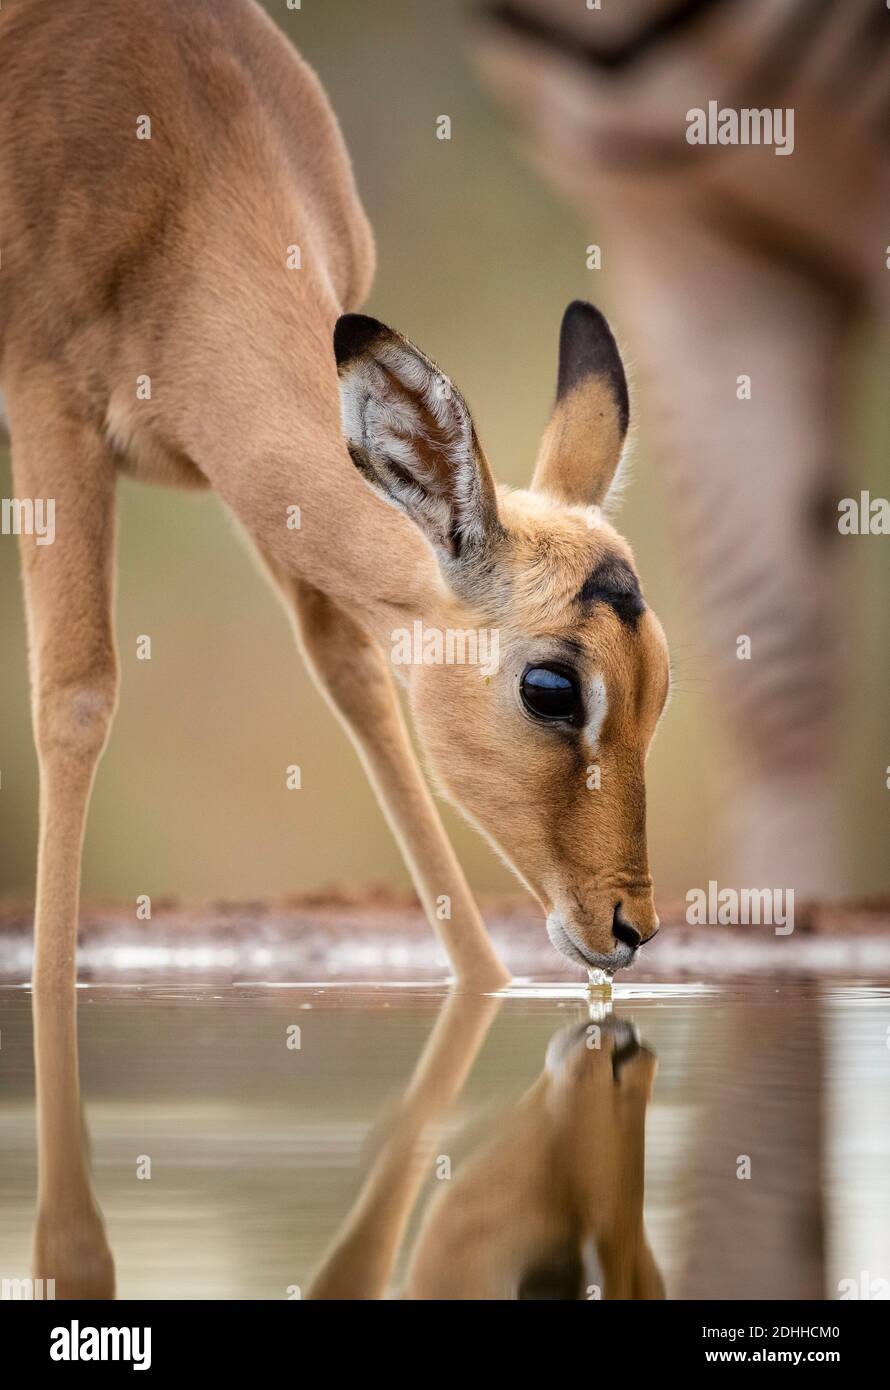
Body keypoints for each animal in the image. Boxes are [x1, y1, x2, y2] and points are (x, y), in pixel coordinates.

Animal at [1, 0, 669, 994]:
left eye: (660, 679)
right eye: (550, 688)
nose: (629, 927)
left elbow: (355, 679)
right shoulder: (53, 410)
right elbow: (75, 698)